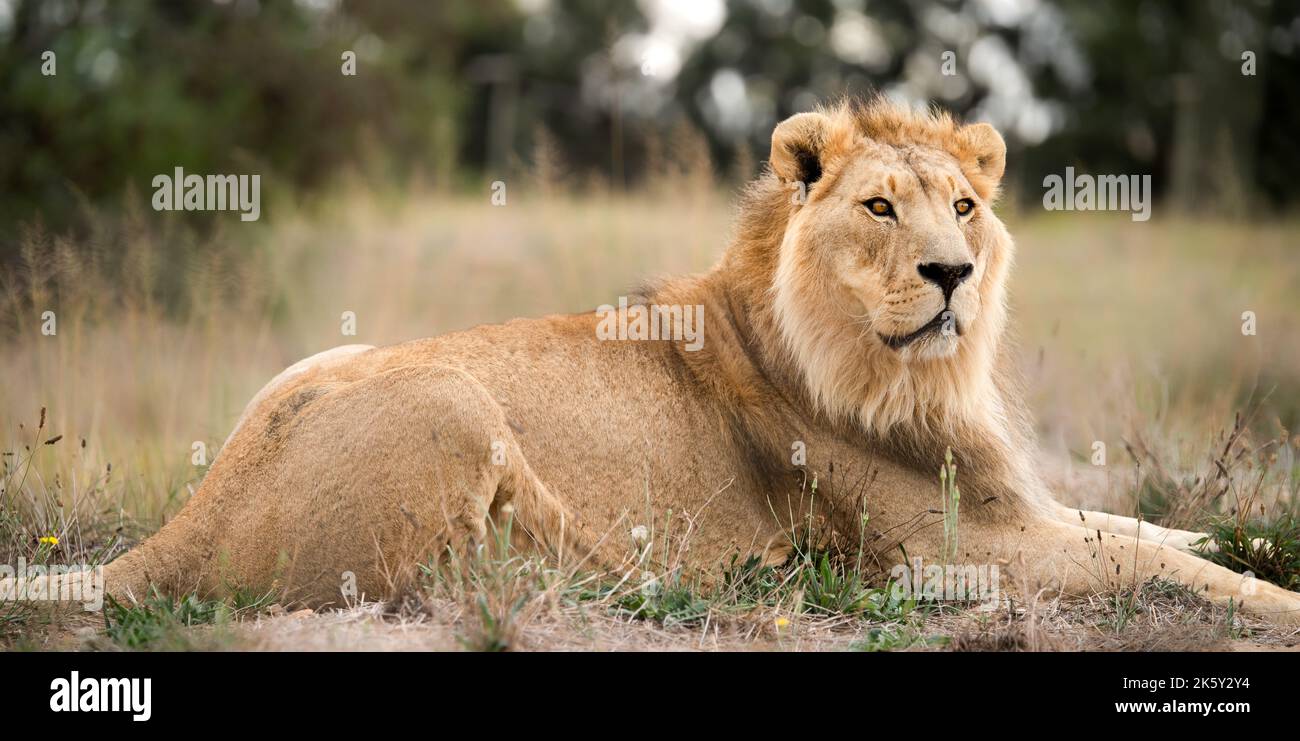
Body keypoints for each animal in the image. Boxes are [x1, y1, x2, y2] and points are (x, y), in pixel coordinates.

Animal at [25, 98, 1300, 623]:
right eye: (880, 208)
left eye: (966, 206)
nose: (953, 275)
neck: (915, 375)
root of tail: (181, 530)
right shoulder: (948, 553)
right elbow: (1156, 563)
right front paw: (1271, 602)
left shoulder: (1014, 507)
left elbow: (1151, 528)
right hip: (452, 400)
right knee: (446, 586)